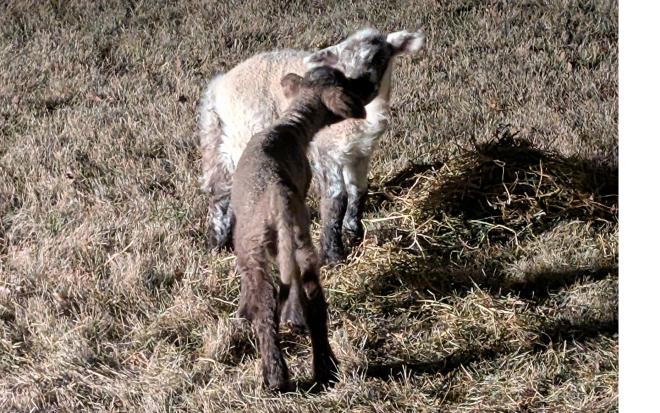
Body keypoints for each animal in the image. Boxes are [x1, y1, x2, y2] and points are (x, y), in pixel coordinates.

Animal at [200, 28, 425, 264]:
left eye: (379, 58)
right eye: (344, 62)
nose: (360, 86)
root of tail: (218, 86)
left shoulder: (359, 152)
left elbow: (358, 191)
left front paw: (354, 233)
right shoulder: (327, 150)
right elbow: (336, 198)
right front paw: (333, 255)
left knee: (220, 185)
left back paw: (220, 242)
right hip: (244, 130)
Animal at [231, 66, 375, 391]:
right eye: (347, 82)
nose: (368, 83)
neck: (290, 126)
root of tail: (278, 200)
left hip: (254, 248)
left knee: (266, 304)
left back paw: (276, 377)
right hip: (301, 244)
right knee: (313, 299)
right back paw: (325, 369)